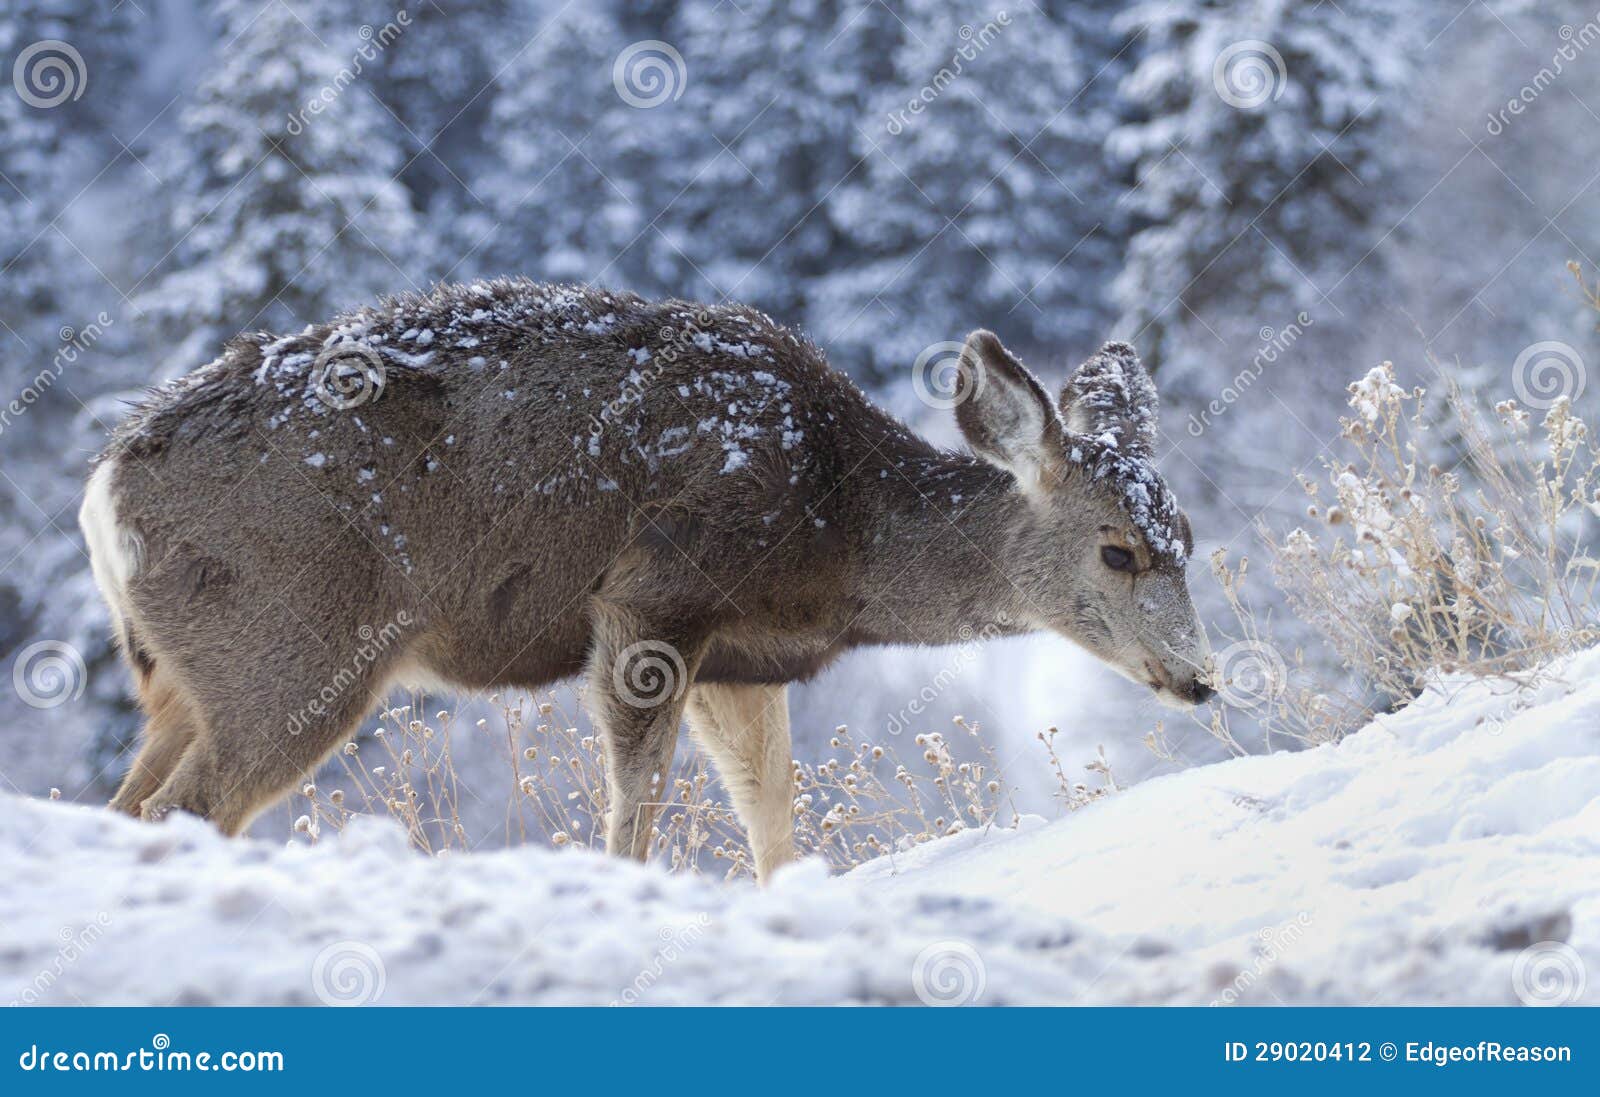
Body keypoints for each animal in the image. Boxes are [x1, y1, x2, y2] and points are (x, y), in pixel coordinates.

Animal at [80, 279, 1212, 882]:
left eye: (1188, 534)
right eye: (1117, 548)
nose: (1202, 676)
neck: (838, 529)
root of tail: (102, 489)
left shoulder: (745, 659)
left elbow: (770, 806)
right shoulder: (656, 591)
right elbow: (640, 798)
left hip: (184, 678)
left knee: (126, 804)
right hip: (291, 646)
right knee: (185, 807)